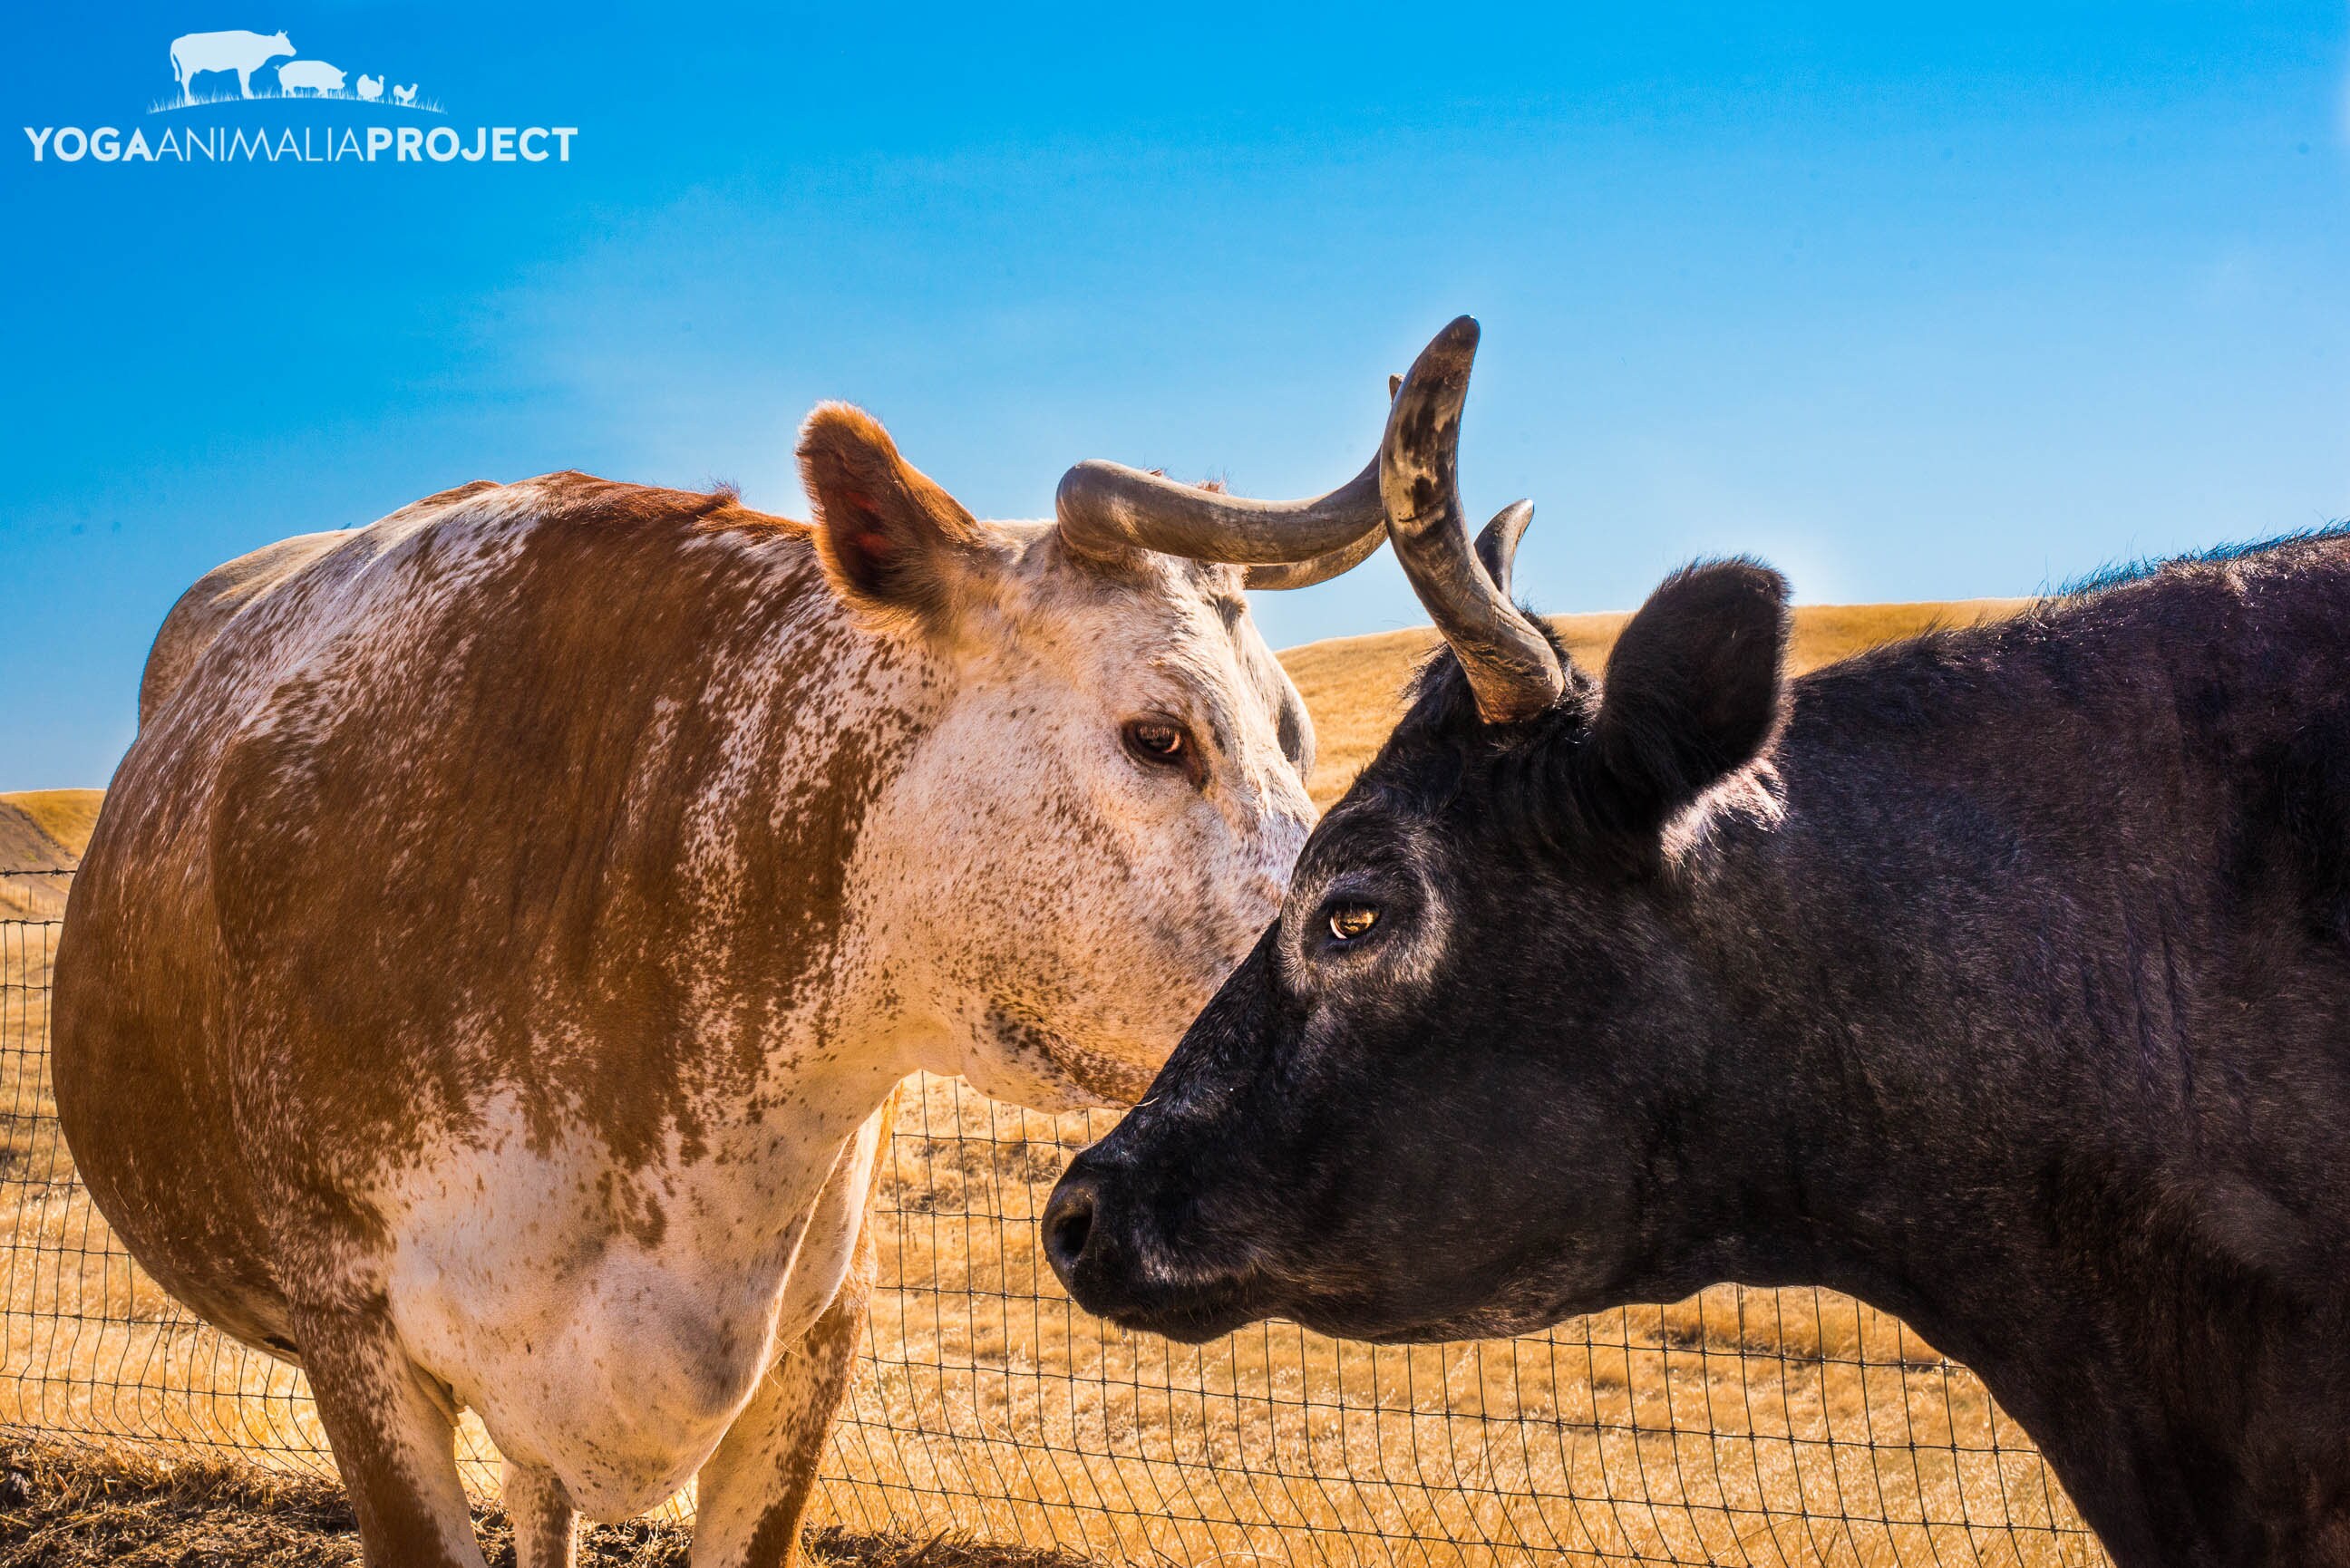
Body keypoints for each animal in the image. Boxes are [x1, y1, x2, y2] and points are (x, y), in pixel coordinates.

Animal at [170, 30, 294, 103]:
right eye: (285, 43)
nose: (295, 51)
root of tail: (176, 41)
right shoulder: (243, 68)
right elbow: (244, 81)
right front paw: (248, 95)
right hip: (187, 69)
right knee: (185, 82)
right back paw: (190, 100)